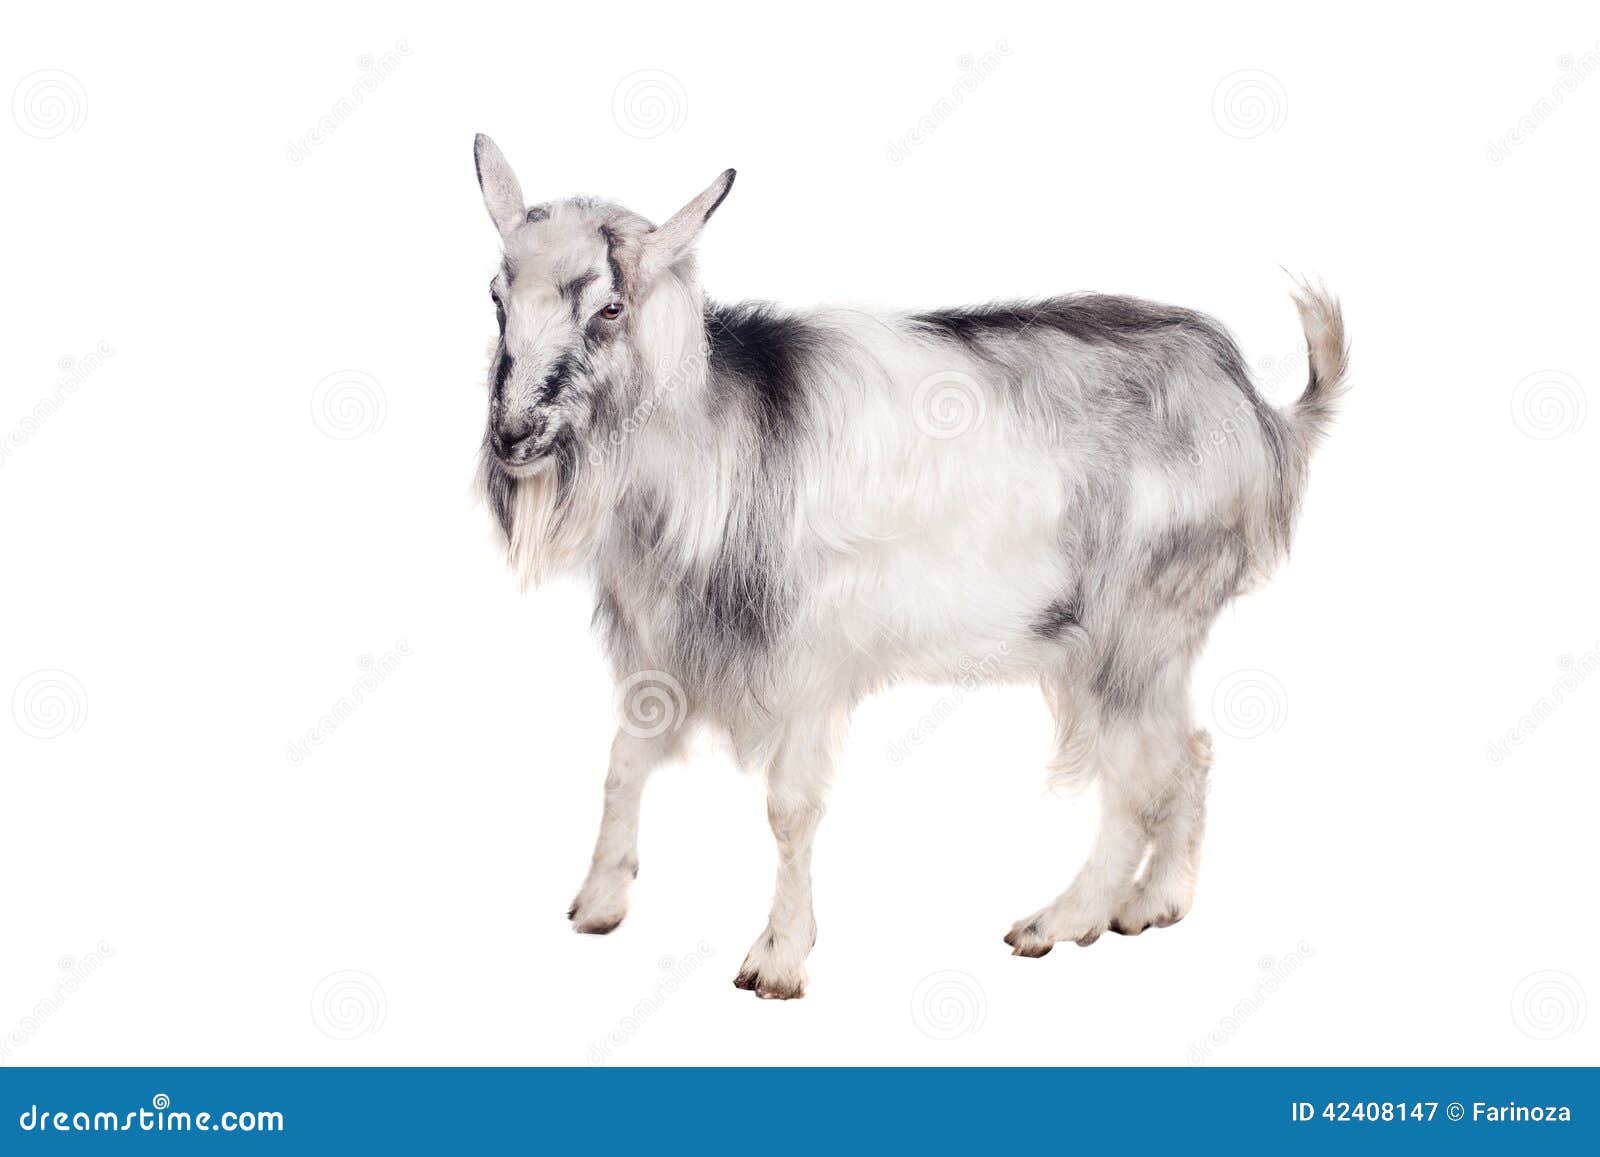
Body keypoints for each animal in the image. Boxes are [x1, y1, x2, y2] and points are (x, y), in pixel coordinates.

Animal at [471, 134, 1348, 999]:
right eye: (496, 294)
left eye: (609, 308)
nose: (513, 435)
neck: (714, 436)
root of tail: (1262, 415)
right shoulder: (664, 648)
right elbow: (623, 762)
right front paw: (598, 900)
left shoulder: (808, 660)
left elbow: (789, 807)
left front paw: (778, 957)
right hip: (1151, 641)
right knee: (1187, 752)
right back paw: (1154, 904)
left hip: (1136, 625)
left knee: (1134, 777)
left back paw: (1060, 921)